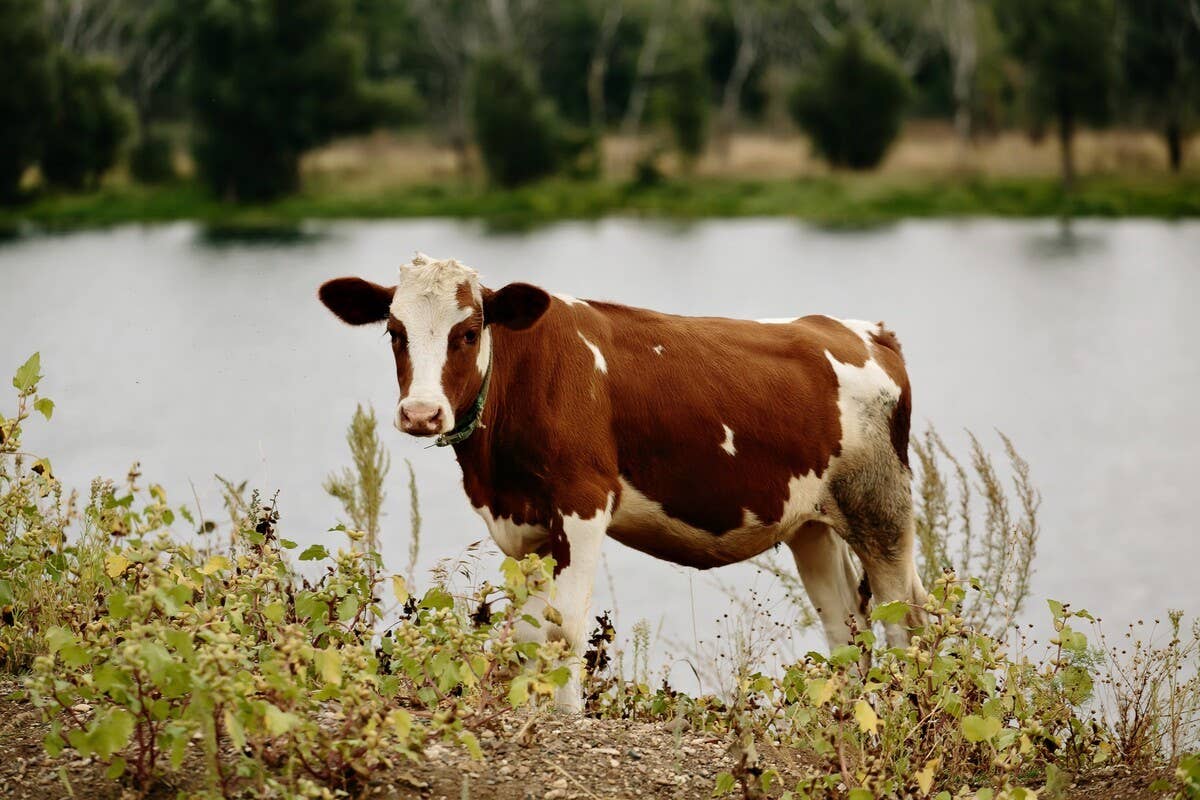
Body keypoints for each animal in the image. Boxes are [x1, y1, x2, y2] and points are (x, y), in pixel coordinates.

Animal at [319, 253, 928, 711]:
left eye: (468, 333)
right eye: (394, 332)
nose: (421, 413)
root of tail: (863, 330)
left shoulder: (584, 504)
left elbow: (564, 629)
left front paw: (565, 721)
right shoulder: (521, 525)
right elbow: (528, 635)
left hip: (881, 507)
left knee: (903, 621)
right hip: (810, 523)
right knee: (847, 627)